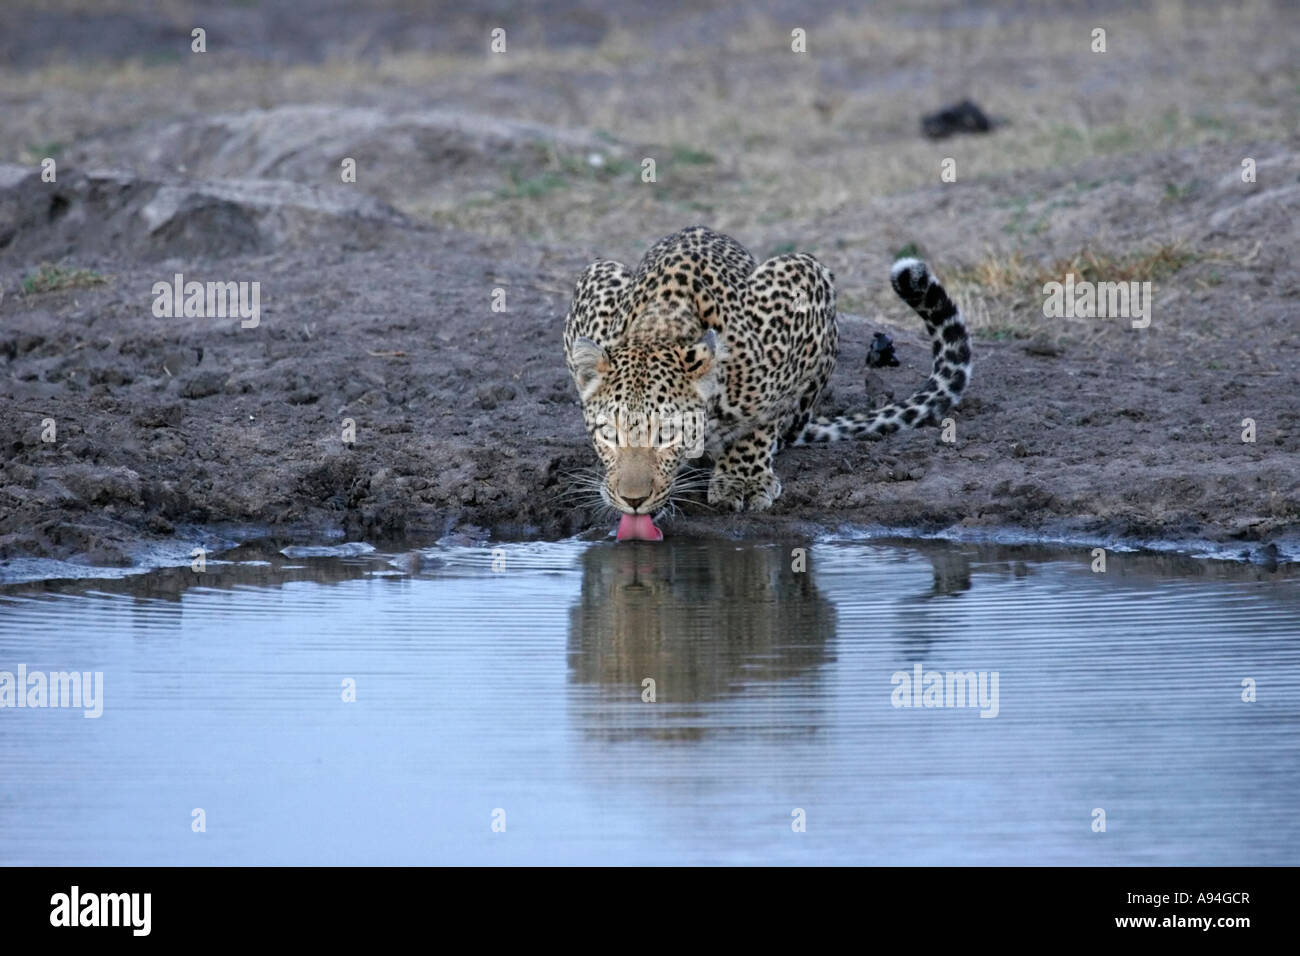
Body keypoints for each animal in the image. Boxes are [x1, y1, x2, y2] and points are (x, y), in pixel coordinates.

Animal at [563, 225, 971, 520]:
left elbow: (762, 418)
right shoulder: (592, 283)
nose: (632, 500)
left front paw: (742, 480)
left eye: (667, 435)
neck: (660, 324)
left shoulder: (804, 282)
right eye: (608, 433)